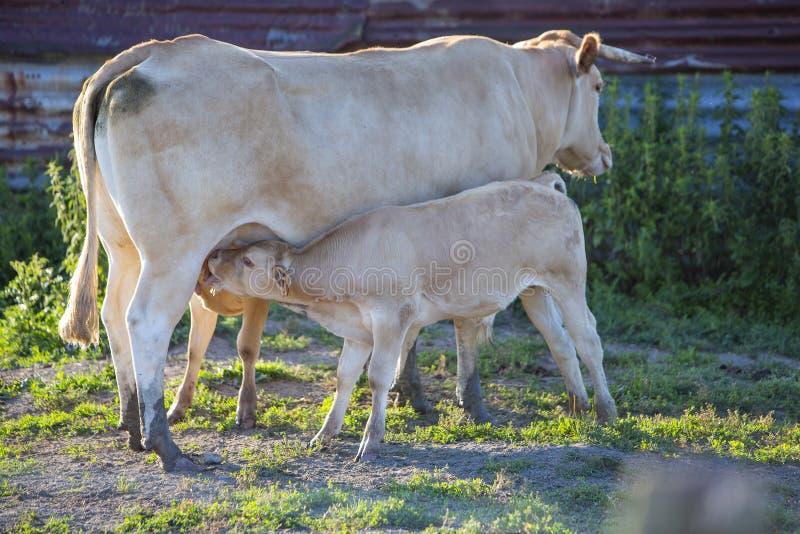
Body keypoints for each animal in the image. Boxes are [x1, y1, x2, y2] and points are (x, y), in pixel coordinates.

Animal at [206, 177, 613, 460]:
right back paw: (578, 405)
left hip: (568, 281)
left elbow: (378, 377)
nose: (213, 257)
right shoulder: (357, 330)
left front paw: (371, 441)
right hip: (535, 292)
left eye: (248, 261)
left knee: (588, 340)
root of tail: (548, 187)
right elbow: (344, 377)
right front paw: (325, 434)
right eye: (241, 250)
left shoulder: (391, 320)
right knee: (559, 341)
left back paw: (604, 410)